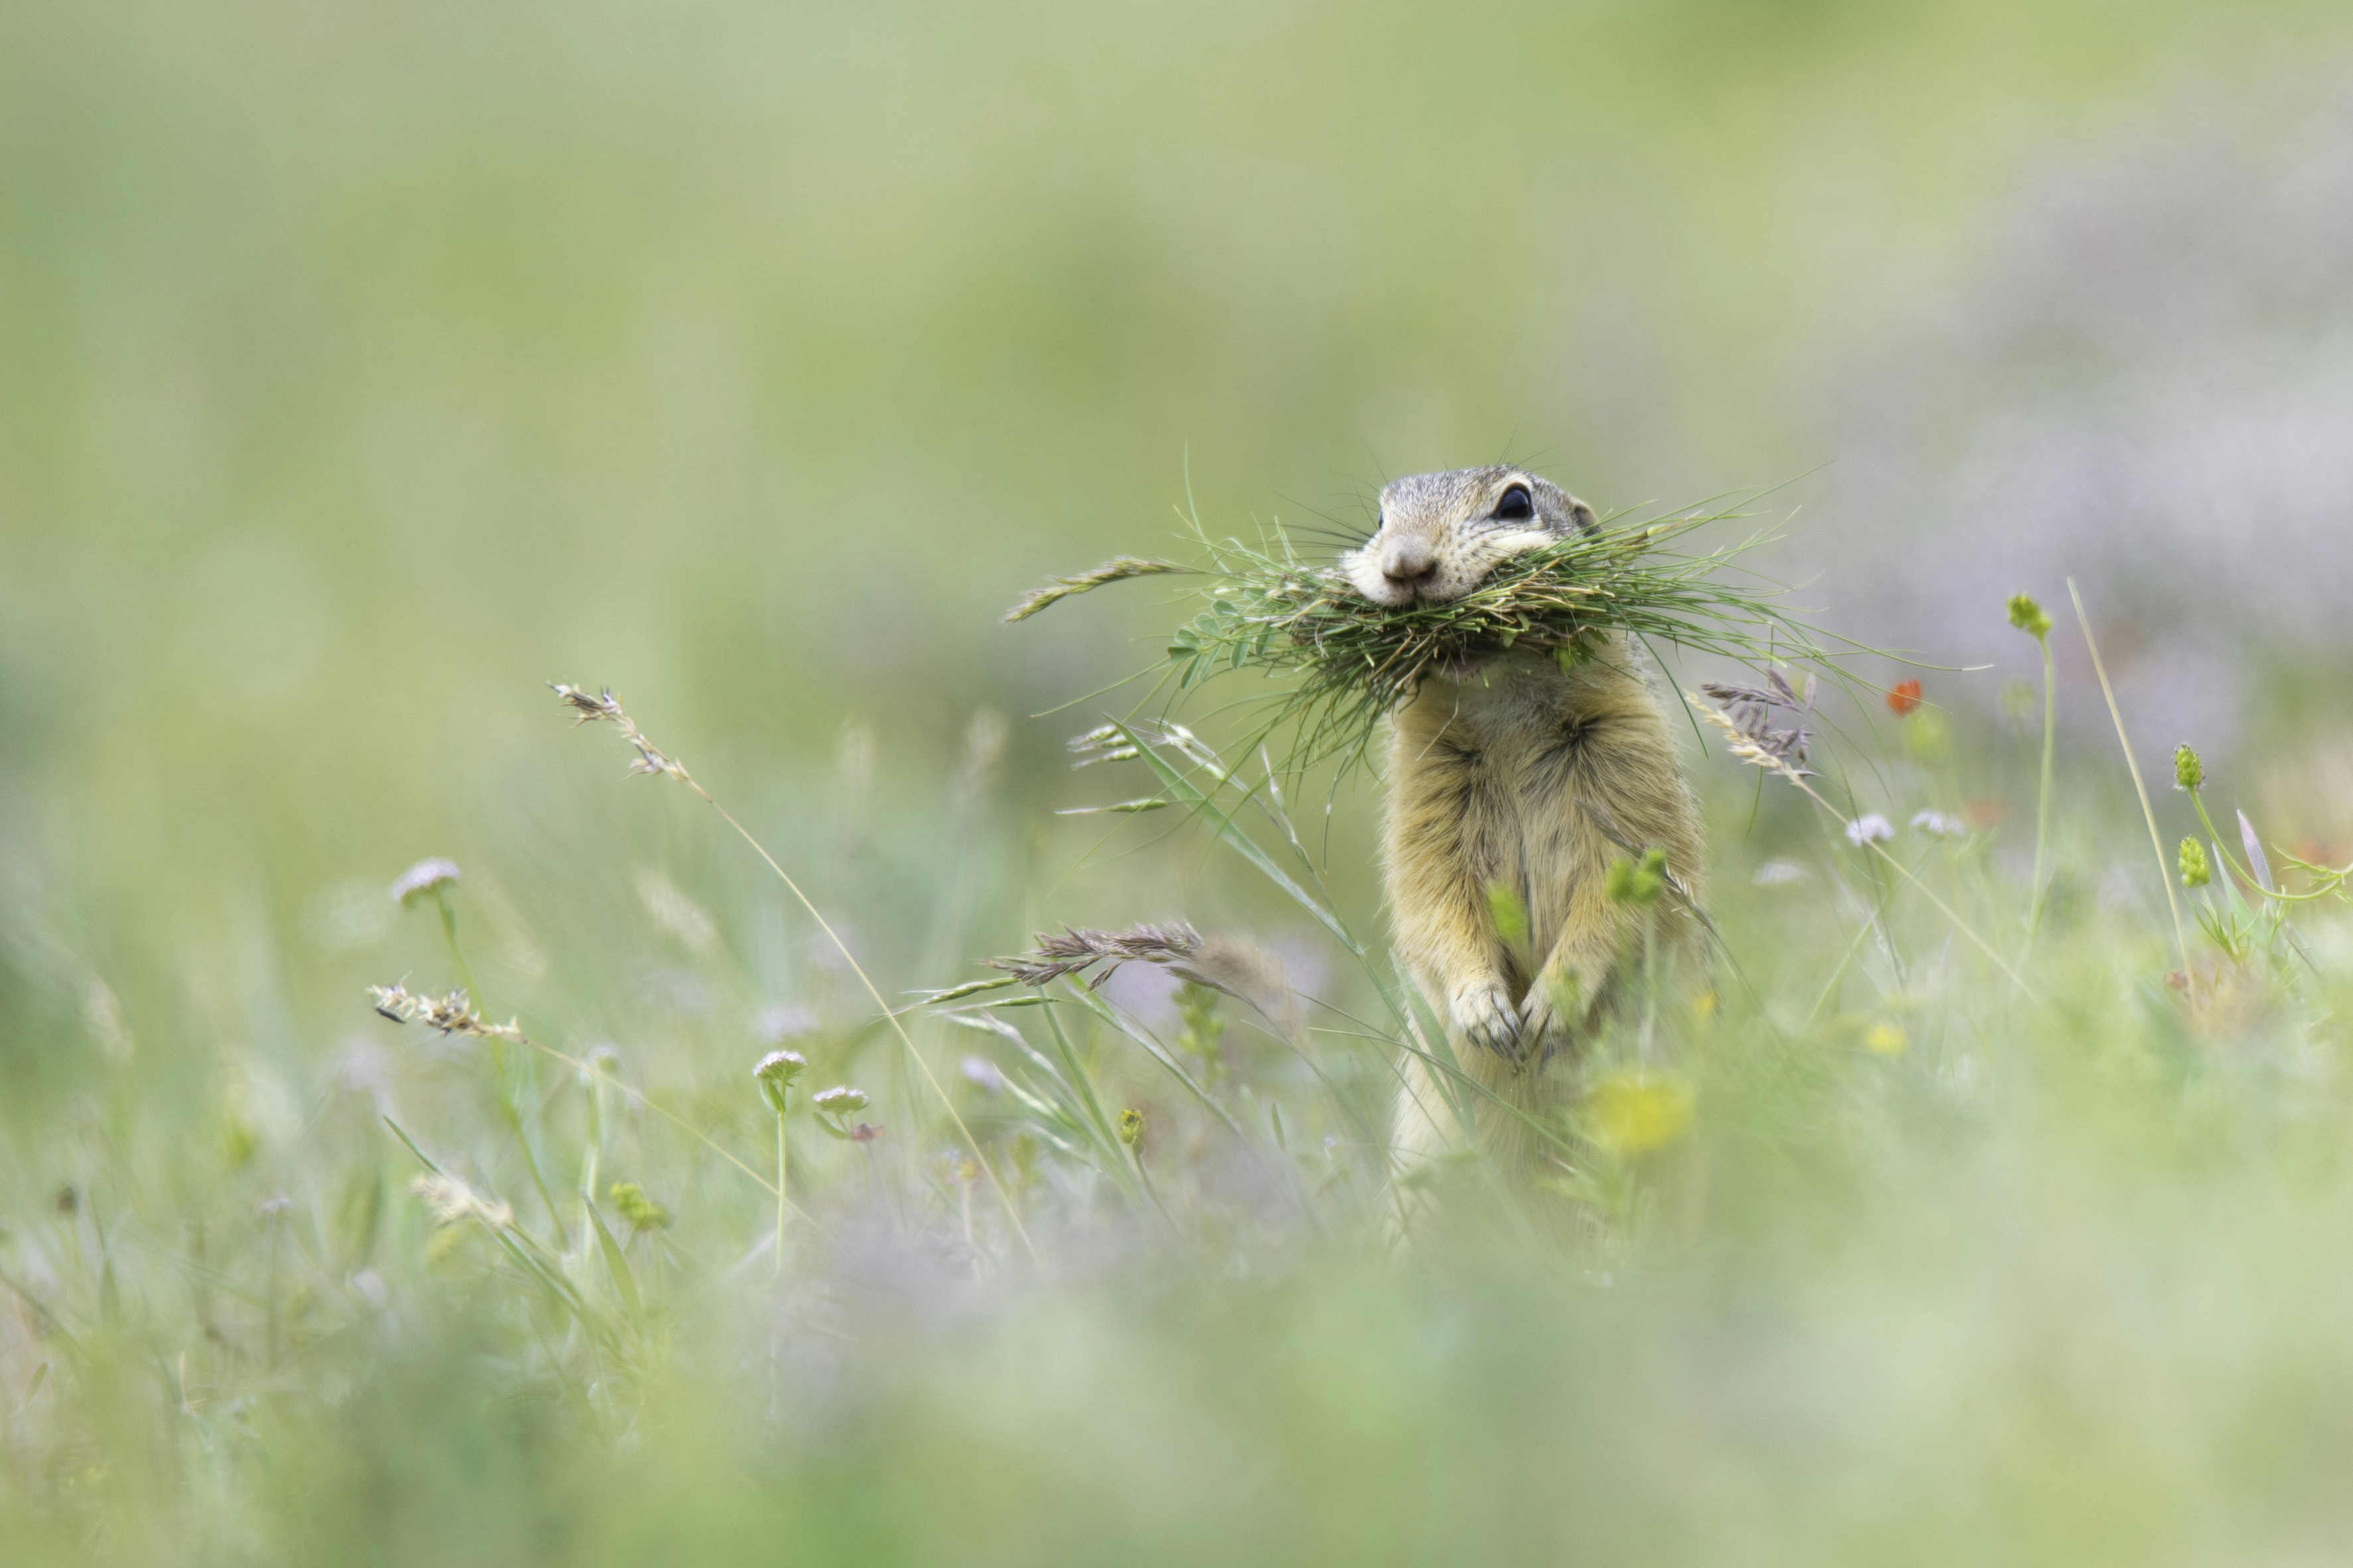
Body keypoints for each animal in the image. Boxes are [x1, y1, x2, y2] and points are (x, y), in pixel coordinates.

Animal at [1340, 466, 1708, 1195]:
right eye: (1378, 521)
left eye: (1515, 503)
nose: (1404, 565)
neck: (1504, 702)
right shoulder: (1424, 797)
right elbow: (1431, 902)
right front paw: (1483, 1010)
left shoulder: (1630, 764)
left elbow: (1622, 898)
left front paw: (1546, 1010)